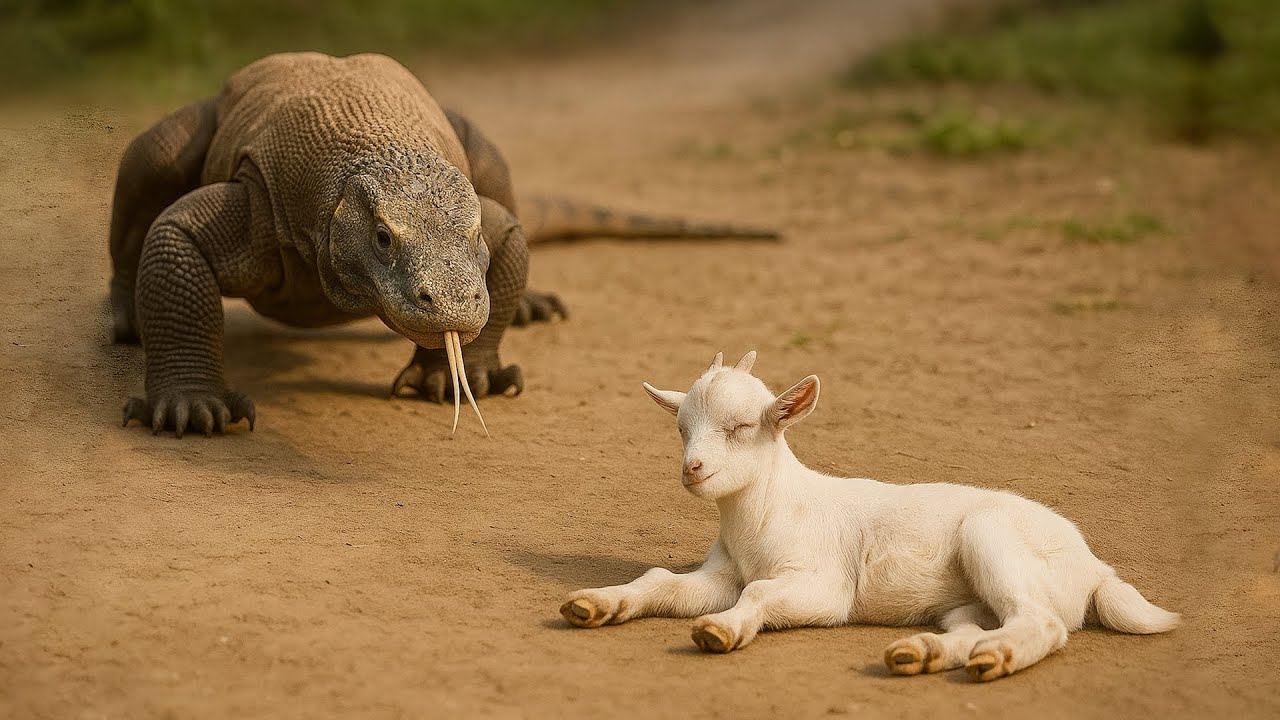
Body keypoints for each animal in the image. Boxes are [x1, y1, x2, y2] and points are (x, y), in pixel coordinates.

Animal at [560, 351, 1178, 680]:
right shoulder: (720, 575)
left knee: (1043, 623)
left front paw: (722, 630)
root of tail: (1097, 569)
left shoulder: (823, 586)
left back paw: (996, 658)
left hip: (996, 540)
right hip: (966, 599)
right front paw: (596, 603)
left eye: (742, 427)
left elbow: (757, 595)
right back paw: (925, 653)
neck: (770, 512)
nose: (693, 469)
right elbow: (662, 580)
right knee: (977, 624)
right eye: (681, 426)